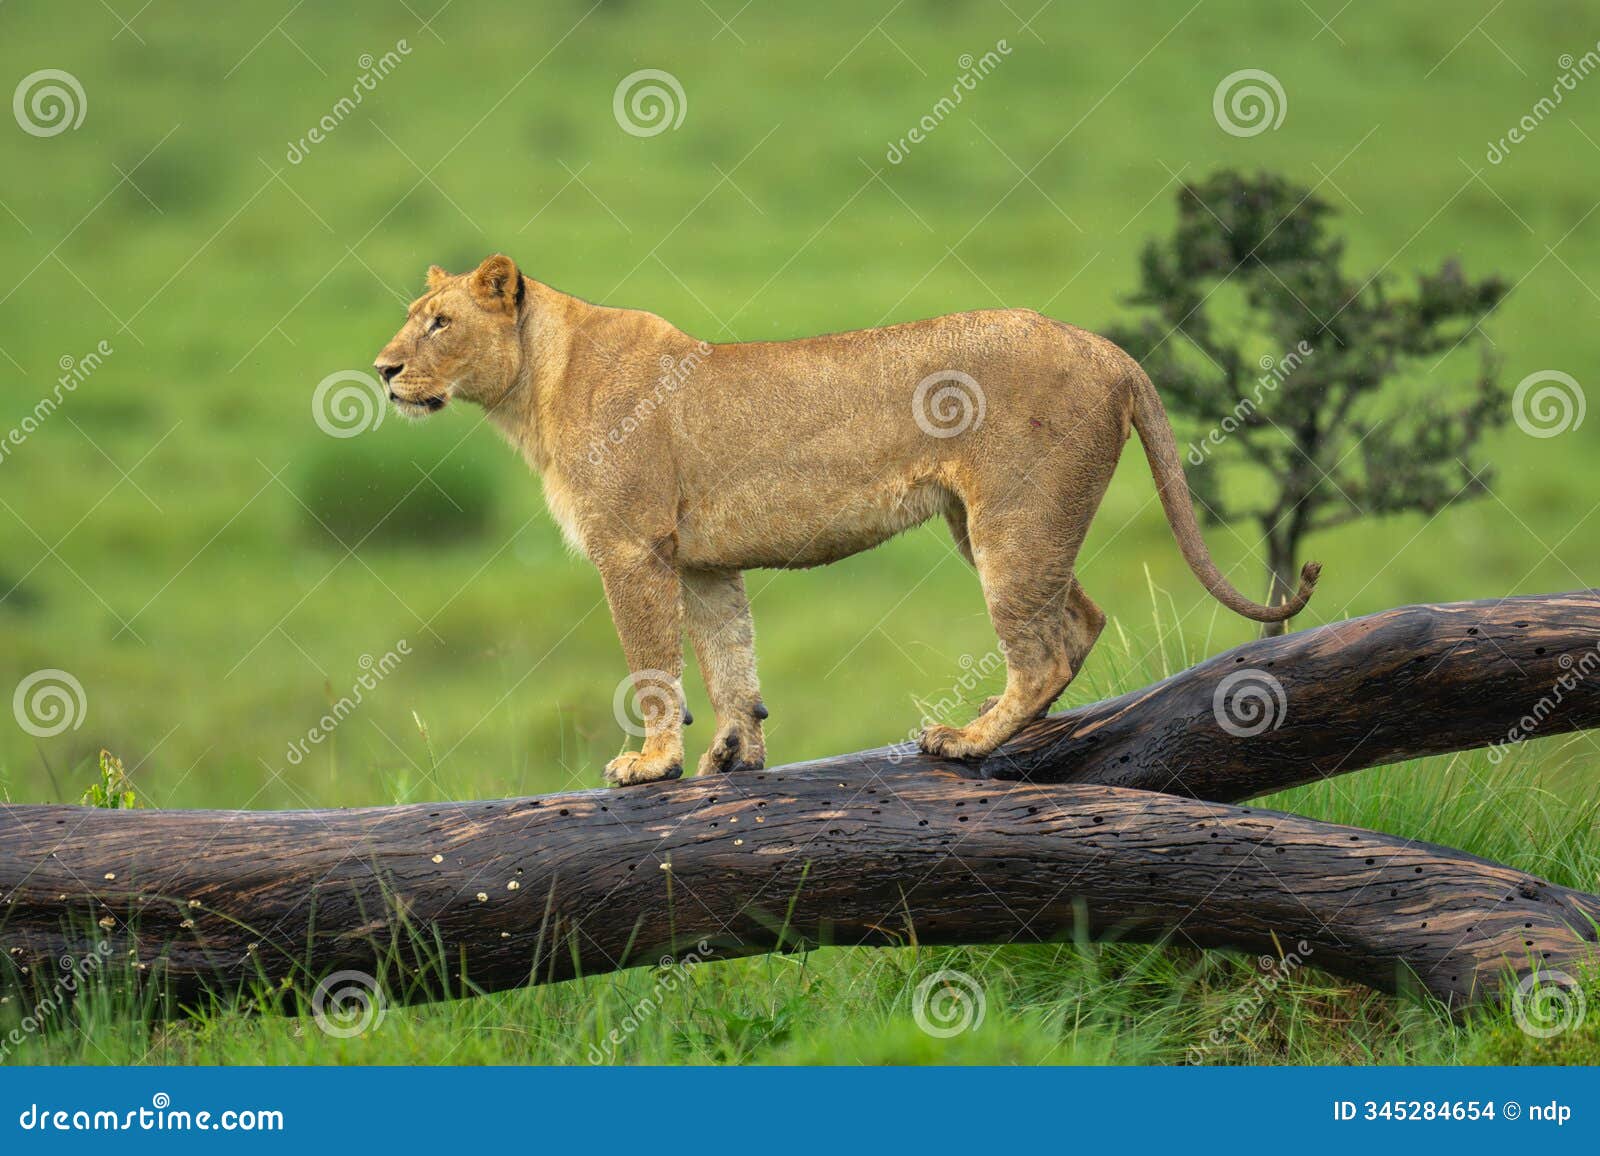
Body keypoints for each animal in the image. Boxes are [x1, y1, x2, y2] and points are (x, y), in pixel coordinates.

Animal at [373, 254, 1319, 786]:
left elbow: (653, 667)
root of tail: (1106, 348)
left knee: (1045, 643)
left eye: (439, 323)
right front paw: (731, 756)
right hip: (993, 526)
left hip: (1013, 521)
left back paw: (967, 739)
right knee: (1080, 620)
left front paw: (650, 763)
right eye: (415, 321)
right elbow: (729, 659)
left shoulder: (632, 548)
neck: (531, 390)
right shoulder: (700, 560)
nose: (382, 370)